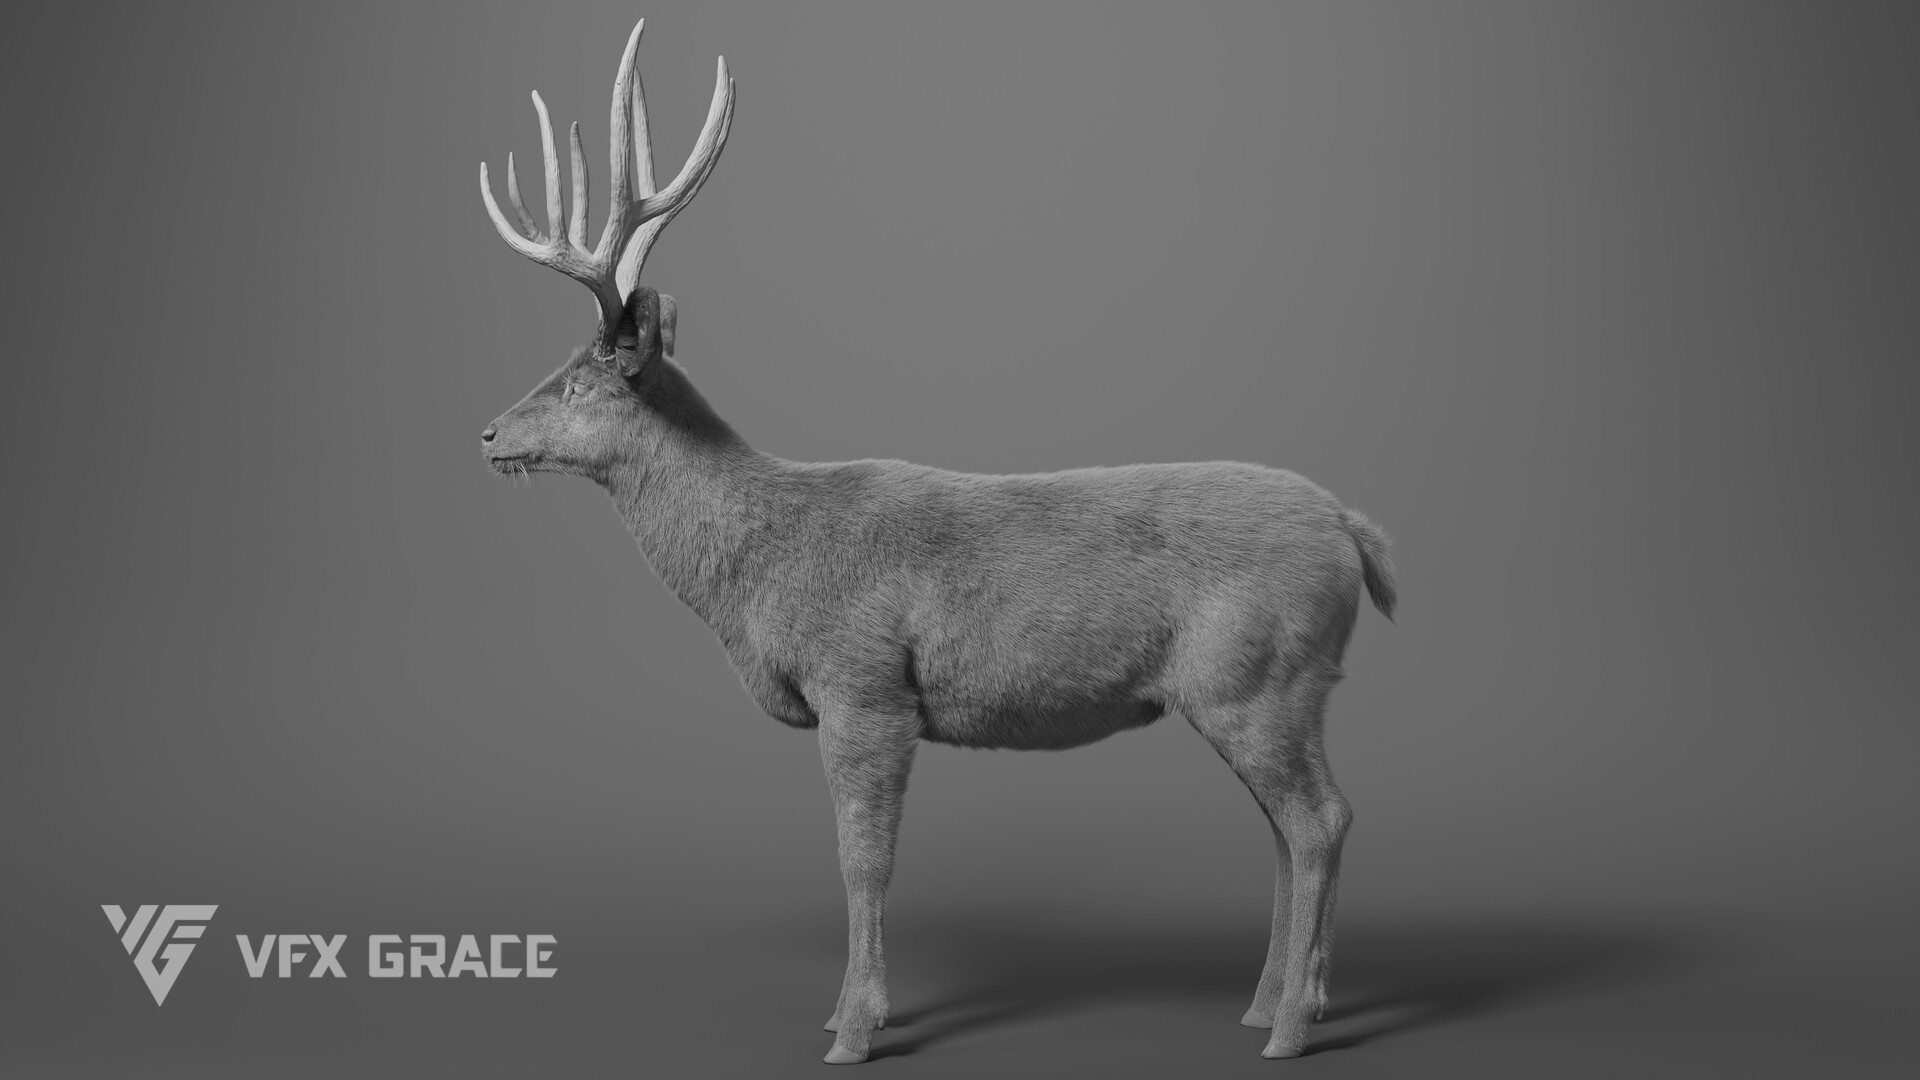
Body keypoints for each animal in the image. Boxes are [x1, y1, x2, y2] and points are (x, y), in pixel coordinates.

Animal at [476, 19, 1396, 1065]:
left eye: (582, 384)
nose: (488, 434)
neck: (757, 572)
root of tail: (1353, 531)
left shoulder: (864, 685)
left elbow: (862, 859)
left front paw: (852, 1028)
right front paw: (850, 1012)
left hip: (1258, 677)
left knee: (1319, 820)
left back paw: (1286, 1028)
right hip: (1264, 689)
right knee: (1292, 827)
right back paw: (1276, 1000)